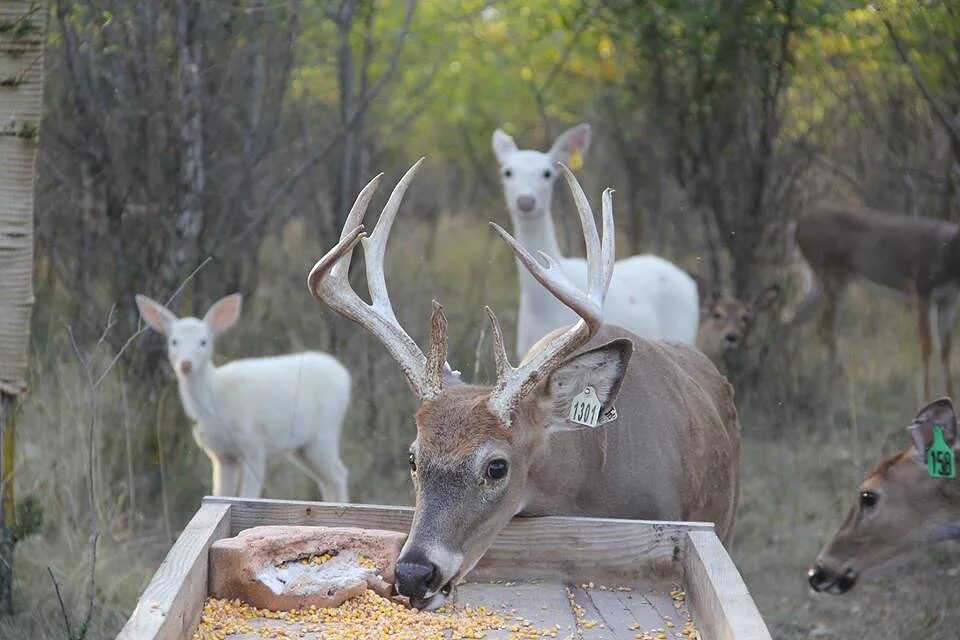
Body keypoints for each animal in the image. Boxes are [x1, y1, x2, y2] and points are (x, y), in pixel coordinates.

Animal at [137, 294, 350, 500]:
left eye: (203, 341)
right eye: (174, 341)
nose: (186, 364)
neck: (215, 400)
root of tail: (345, 377)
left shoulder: (254, 443)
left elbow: (248, 495)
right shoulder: (222, 455)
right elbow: (221, 494)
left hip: (324, 432)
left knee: (339, 474)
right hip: (300, 448)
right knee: (326, 481)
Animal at [496, 122, 696, 358]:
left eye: (547, 173)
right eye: (507, 172)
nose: (526, 201)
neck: (542, 309)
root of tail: (688, 280)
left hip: (685, 332)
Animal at [784, 205, 960, 400]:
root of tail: (796, 227)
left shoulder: (949, 300)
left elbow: (946, 349)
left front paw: (951, 396)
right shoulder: (922, 292)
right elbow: (927, 345)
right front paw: (926, 398)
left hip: (820, 280)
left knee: (792, 319)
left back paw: (795, 382)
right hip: (833, 274)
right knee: (825, 328)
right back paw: (834, 384)